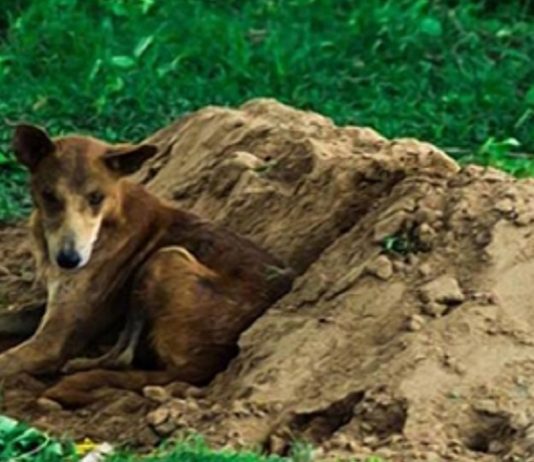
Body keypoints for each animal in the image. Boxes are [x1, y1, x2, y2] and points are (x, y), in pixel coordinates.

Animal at [0, 122, 294, 404]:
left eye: (96, 198)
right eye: (49, 196)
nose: (68, 260)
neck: (109, 222)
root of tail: (212, 363)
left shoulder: (53, 342)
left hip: (163, 258)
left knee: (122, 358)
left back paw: (80, 366)